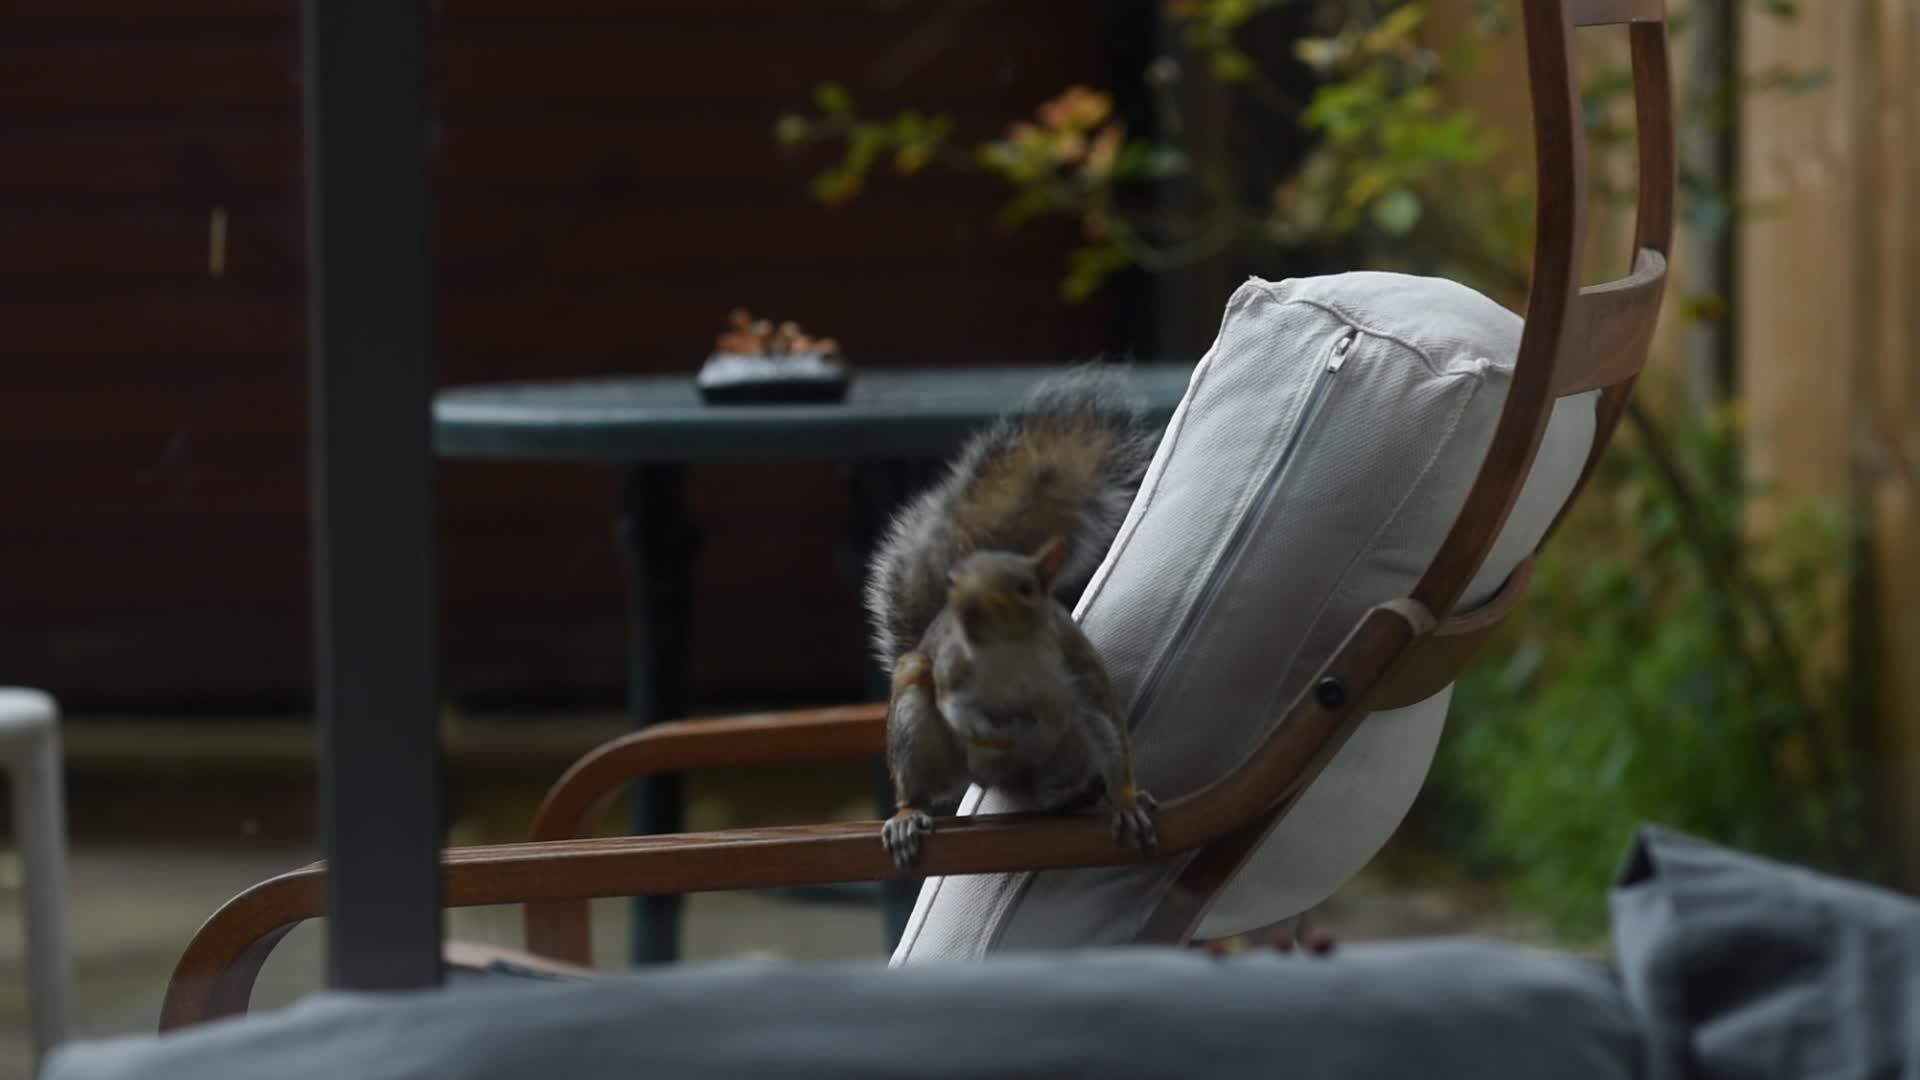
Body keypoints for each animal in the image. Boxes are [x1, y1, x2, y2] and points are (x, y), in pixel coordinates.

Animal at [862, 364, 1162, 867]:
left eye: (1026, 589)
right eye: (952, 583)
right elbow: (955, 703)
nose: (970, 610)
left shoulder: (1078, 670)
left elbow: (1107, 725)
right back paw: (906, 816)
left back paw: (1079, 795)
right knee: (919, 777)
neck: (1008, 654)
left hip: (1068, 755)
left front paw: (1127, 803)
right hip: (918, 720)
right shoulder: (952, 670)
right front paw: (993, 727)